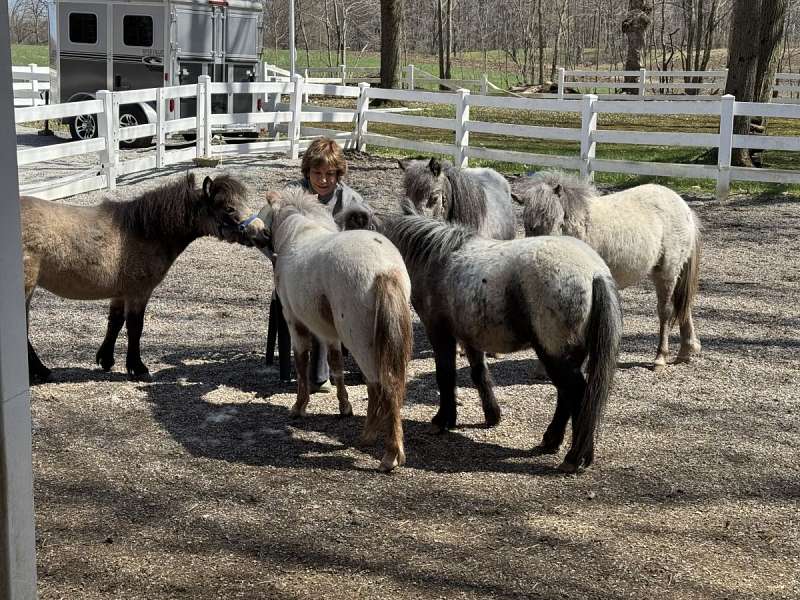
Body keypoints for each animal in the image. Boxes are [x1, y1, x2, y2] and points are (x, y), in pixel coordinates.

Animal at [21, 173, 265, 382]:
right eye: (229, 208)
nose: (260, 231)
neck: (144, 232)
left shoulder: (121, 293)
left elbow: (115, 322)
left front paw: (106, 359)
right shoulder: (138, 292)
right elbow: (135, 327)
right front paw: (137, 368)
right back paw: (41, 371)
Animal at [253, 188, 413, 472]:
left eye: (265, 210)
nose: (253, 231)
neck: (298, 233)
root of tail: (384, 269)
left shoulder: (295, 324)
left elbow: (302, 364)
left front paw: (299, 407)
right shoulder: (330, 335)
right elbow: (336, 366)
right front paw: (344, 406)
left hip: (361, 344)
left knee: (381, 386)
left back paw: (385, 452)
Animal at [378, 213, 623, 473]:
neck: (436, 259)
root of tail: (595, 272)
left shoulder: (440, 333)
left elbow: (445, 375)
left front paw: (443, 420)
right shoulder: (469, 337)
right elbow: (479, 374)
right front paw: (491, 415)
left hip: (554, 355)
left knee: (577, 394)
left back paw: (575, 457)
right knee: (566, 395)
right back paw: (552, 442)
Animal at [517, 171, 701, 371]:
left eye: (558, 222)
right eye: (528, 225)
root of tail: (684, 208)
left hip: (666, 272)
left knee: (665, 311)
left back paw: (660, 357)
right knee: (683, 306)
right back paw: (686, 350)